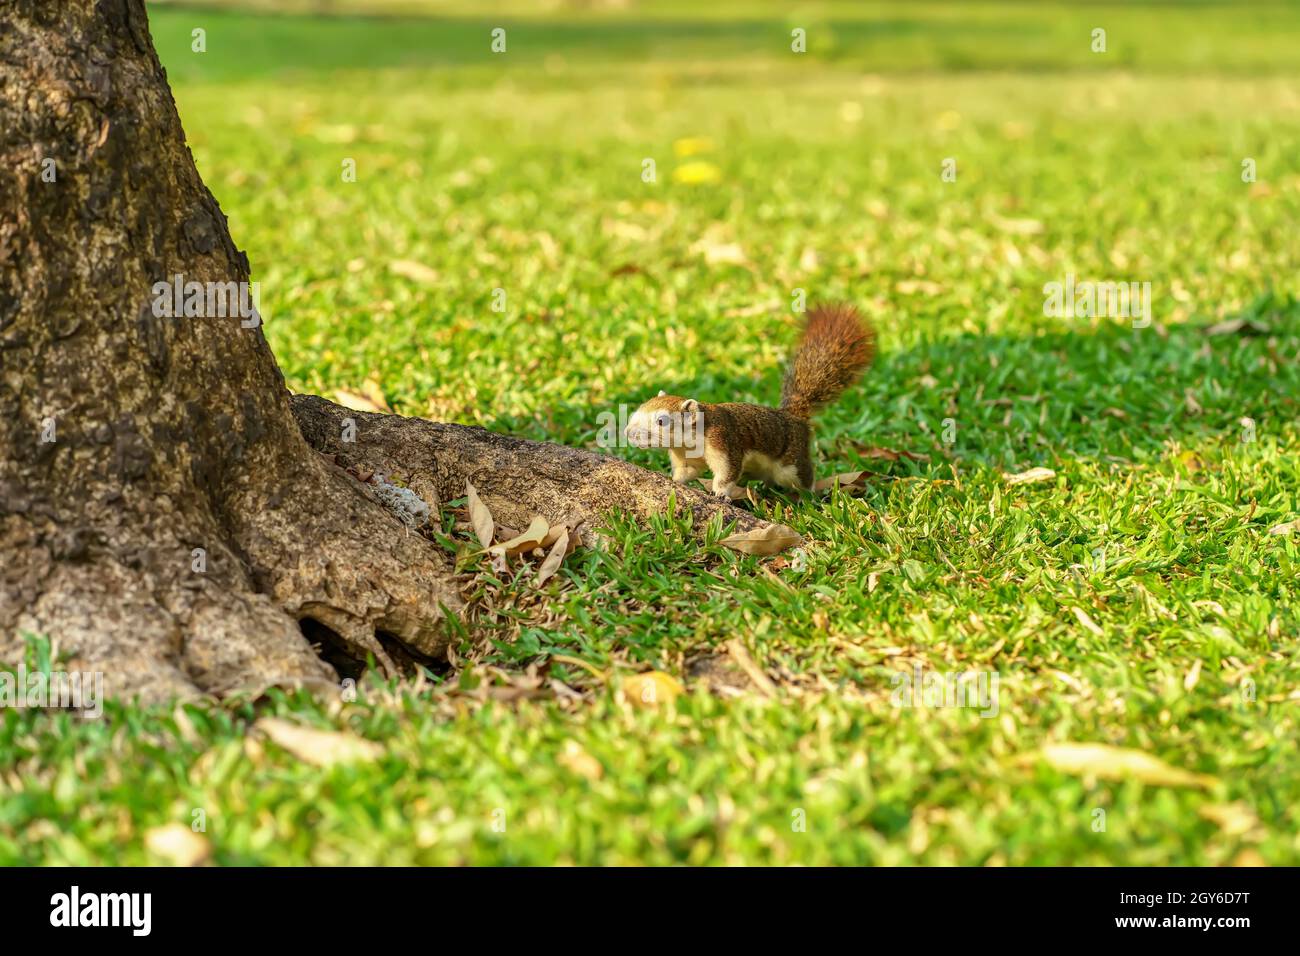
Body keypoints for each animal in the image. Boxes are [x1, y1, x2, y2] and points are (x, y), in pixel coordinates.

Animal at [625, 303, 875, 498]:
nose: (629, 433)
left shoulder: (724, 443)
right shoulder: (685, 456)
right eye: (637, 411)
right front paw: (674, 481)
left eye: (662, 421)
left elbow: (727, 474)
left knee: (805, 476)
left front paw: (720, 494)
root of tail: (793, 416)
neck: (689, 441)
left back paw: (811, 495)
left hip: (791, 463)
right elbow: (687, 472)